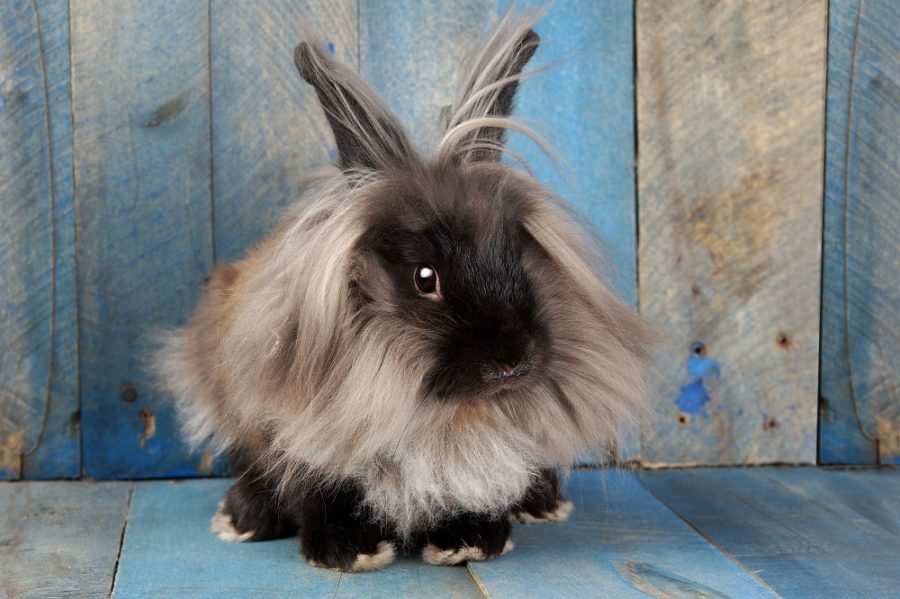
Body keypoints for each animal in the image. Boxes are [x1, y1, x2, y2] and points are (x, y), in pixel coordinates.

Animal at [153, 7, 654, 572]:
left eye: (518, 255)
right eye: (425, 278)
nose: (514, 361)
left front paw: (468, 539)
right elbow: (316, 490)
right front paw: (348, 550)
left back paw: (543, 505)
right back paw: (243, 518)